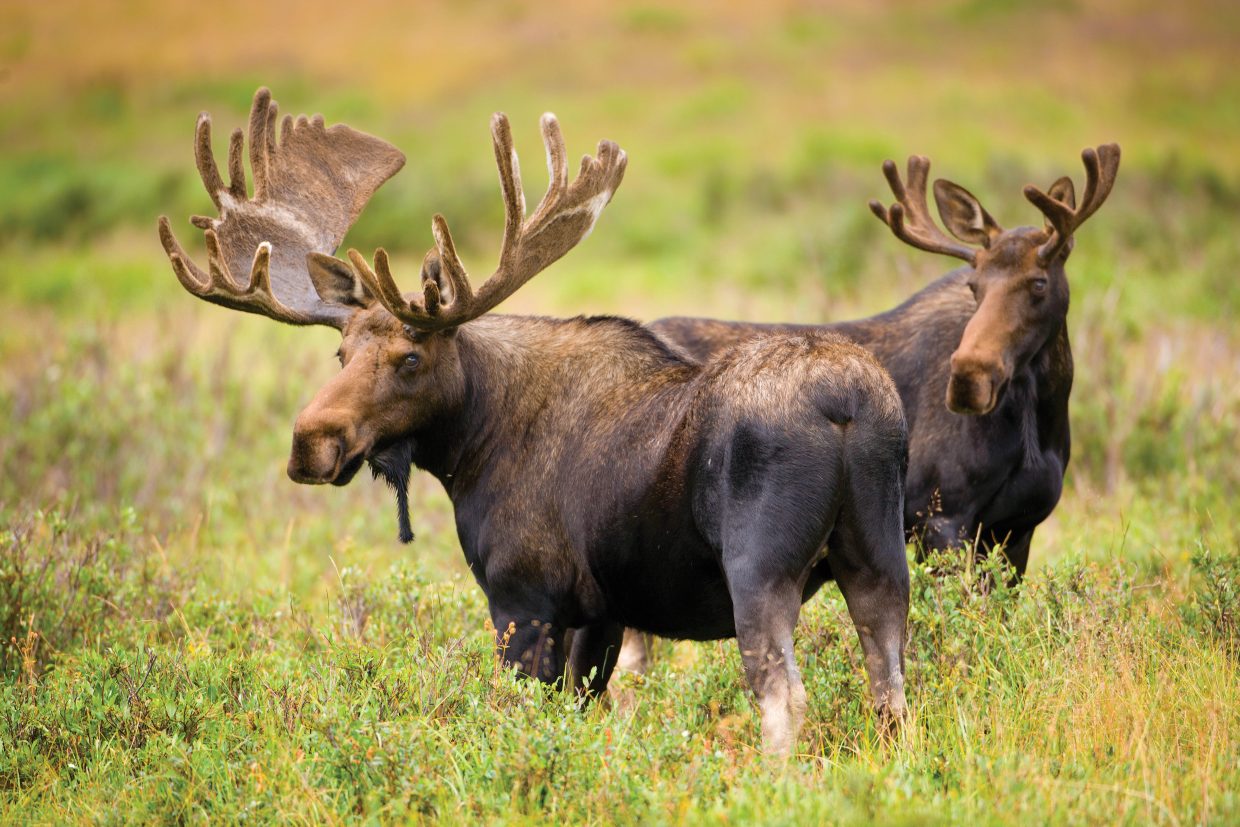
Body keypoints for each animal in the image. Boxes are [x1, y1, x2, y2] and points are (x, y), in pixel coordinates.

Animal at [157, 88, 912, 756]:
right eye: (340, 352)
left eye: (409, 355)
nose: (309, 442)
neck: (472, 447)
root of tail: (847, 406)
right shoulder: (602, 612)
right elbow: (584, 709)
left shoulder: (522, 598)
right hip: (879, 555)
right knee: (892, 690)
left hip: (759, 567)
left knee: (784, 693)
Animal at [620, 146, 1120, 673]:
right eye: (974, 286)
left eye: (1038, 283)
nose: (969, 376)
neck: (1037, 423)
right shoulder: (939, 518)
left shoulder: (1016, 528)